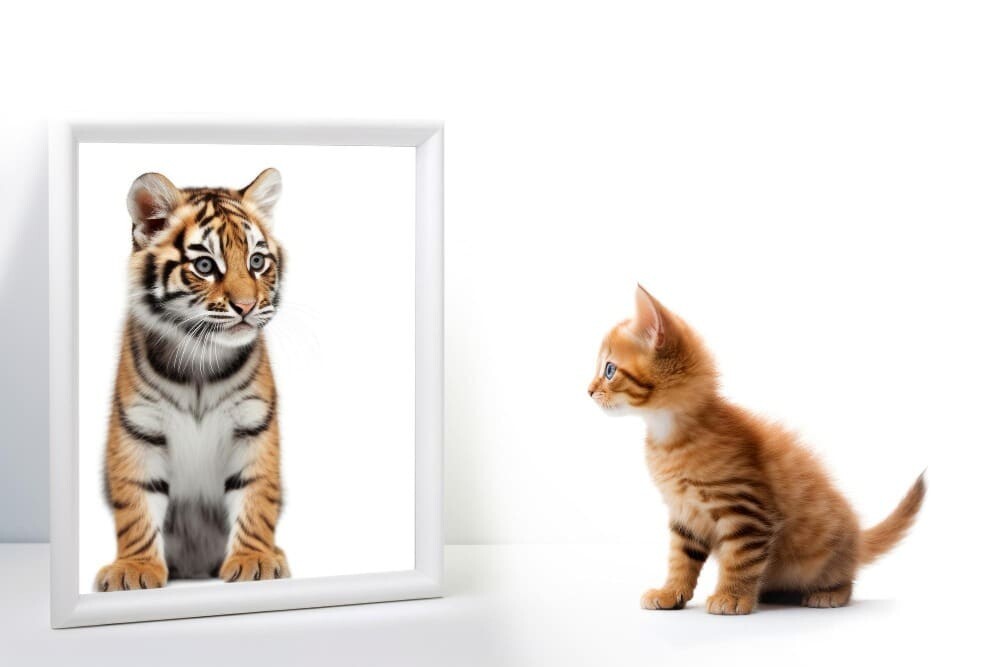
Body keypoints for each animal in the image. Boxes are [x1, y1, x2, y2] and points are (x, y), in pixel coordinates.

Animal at [95, 168, 289, 591]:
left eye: (257, 260)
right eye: (204, 266)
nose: (247, 306)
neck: (201, 355)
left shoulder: (254, 425)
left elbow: (256, 494)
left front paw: (255, 559)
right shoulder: (137, 429)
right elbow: (135, 504)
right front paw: (134, 568)